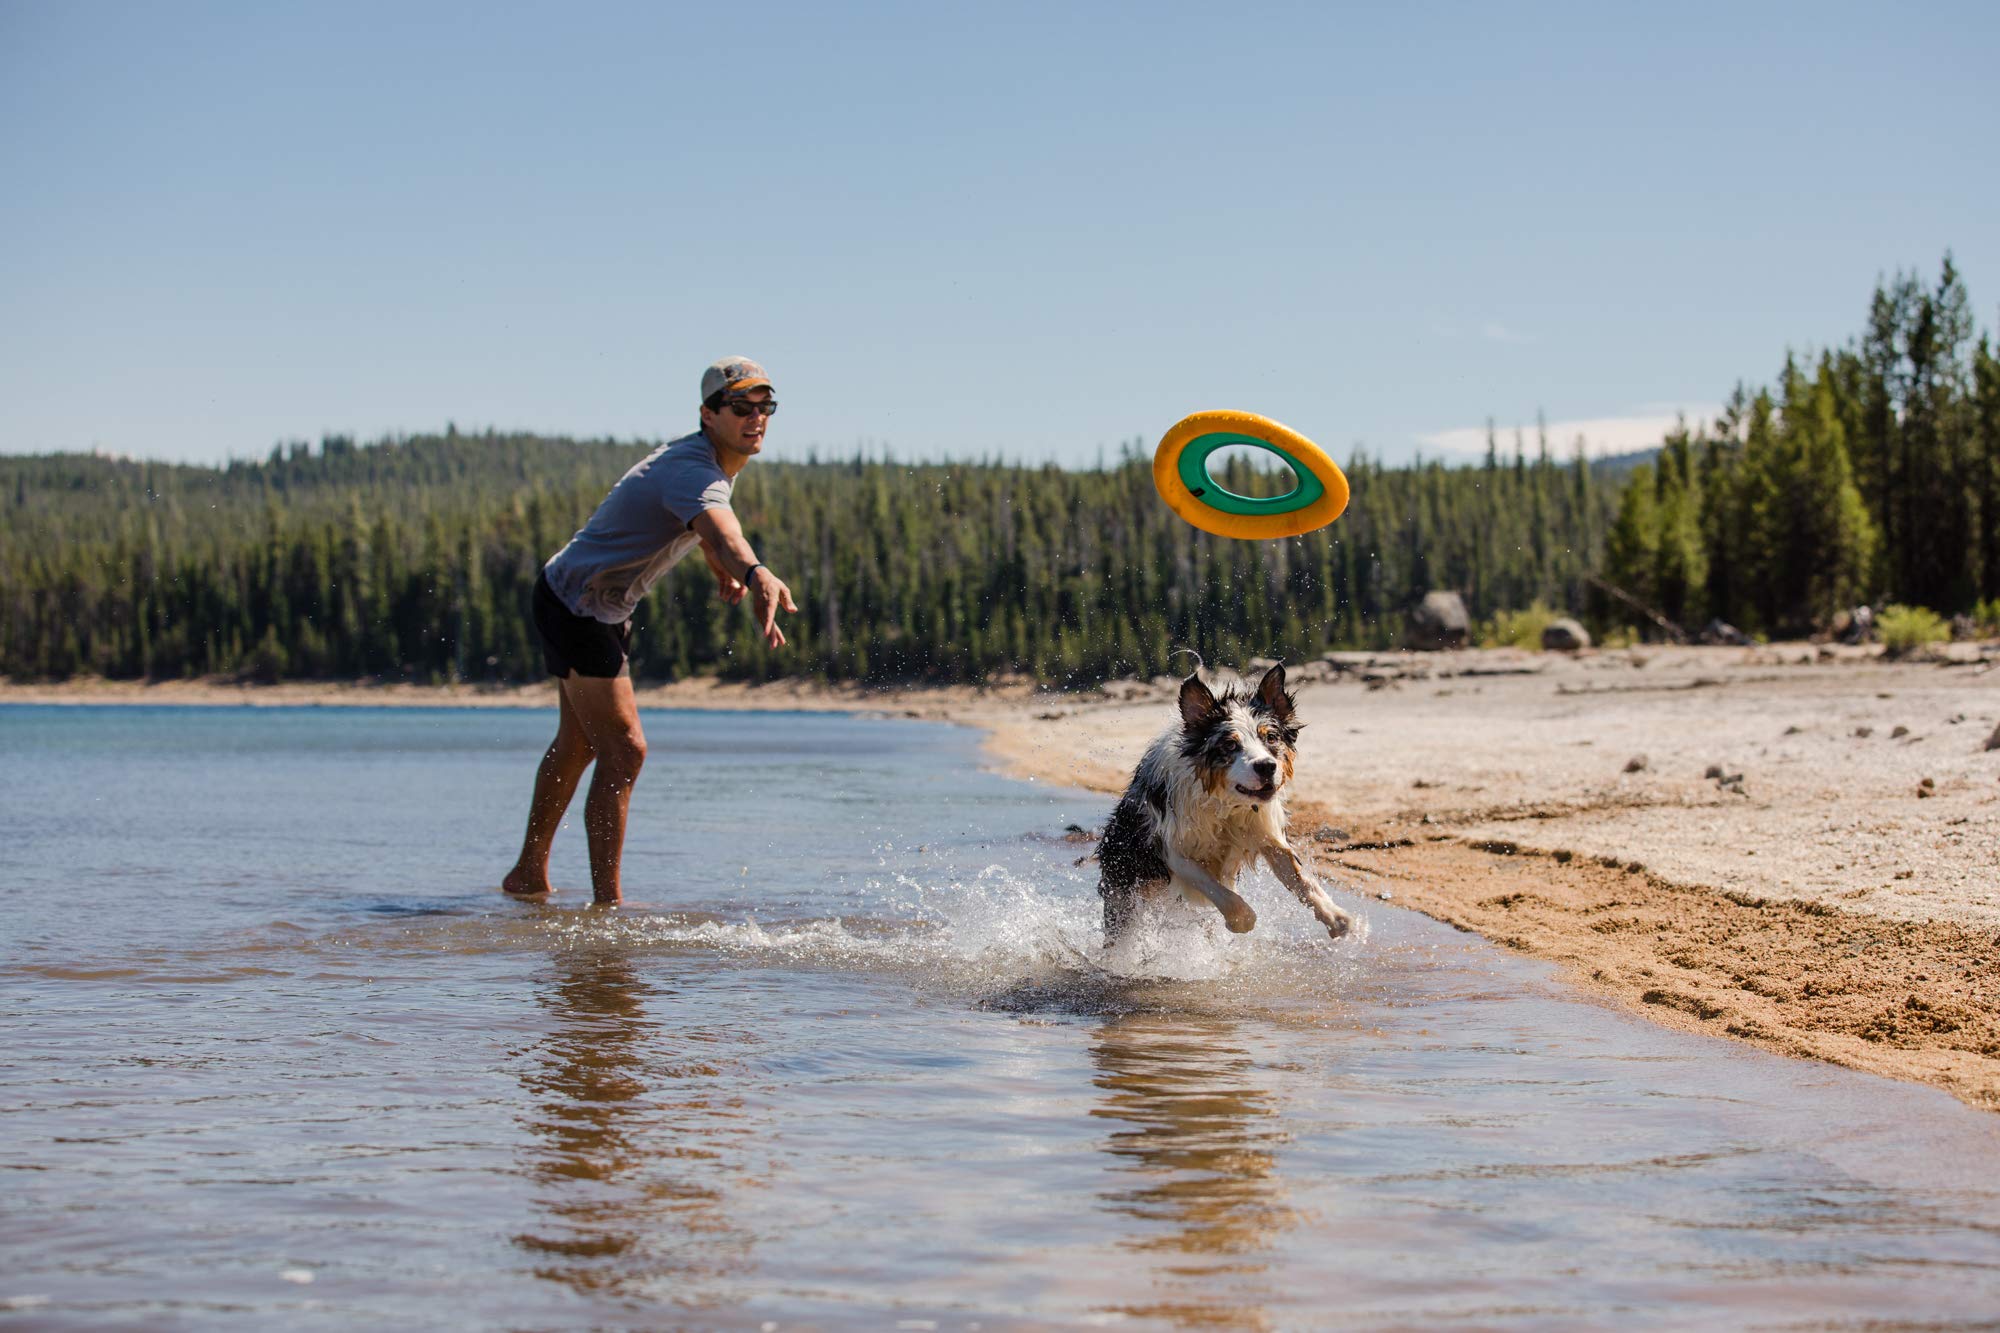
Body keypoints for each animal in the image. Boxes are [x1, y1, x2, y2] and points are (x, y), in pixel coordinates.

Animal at [1096, 660, 1360, 940]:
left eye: (1271, 738)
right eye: (1230, 745)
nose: (1267, 767)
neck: (1226, 803)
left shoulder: (1264, 829)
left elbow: (1300, 877)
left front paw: (1335, 917)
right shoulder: (1173, 846)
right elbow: (1217, 890)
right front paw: (1240, 920)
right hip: (1124, 887)